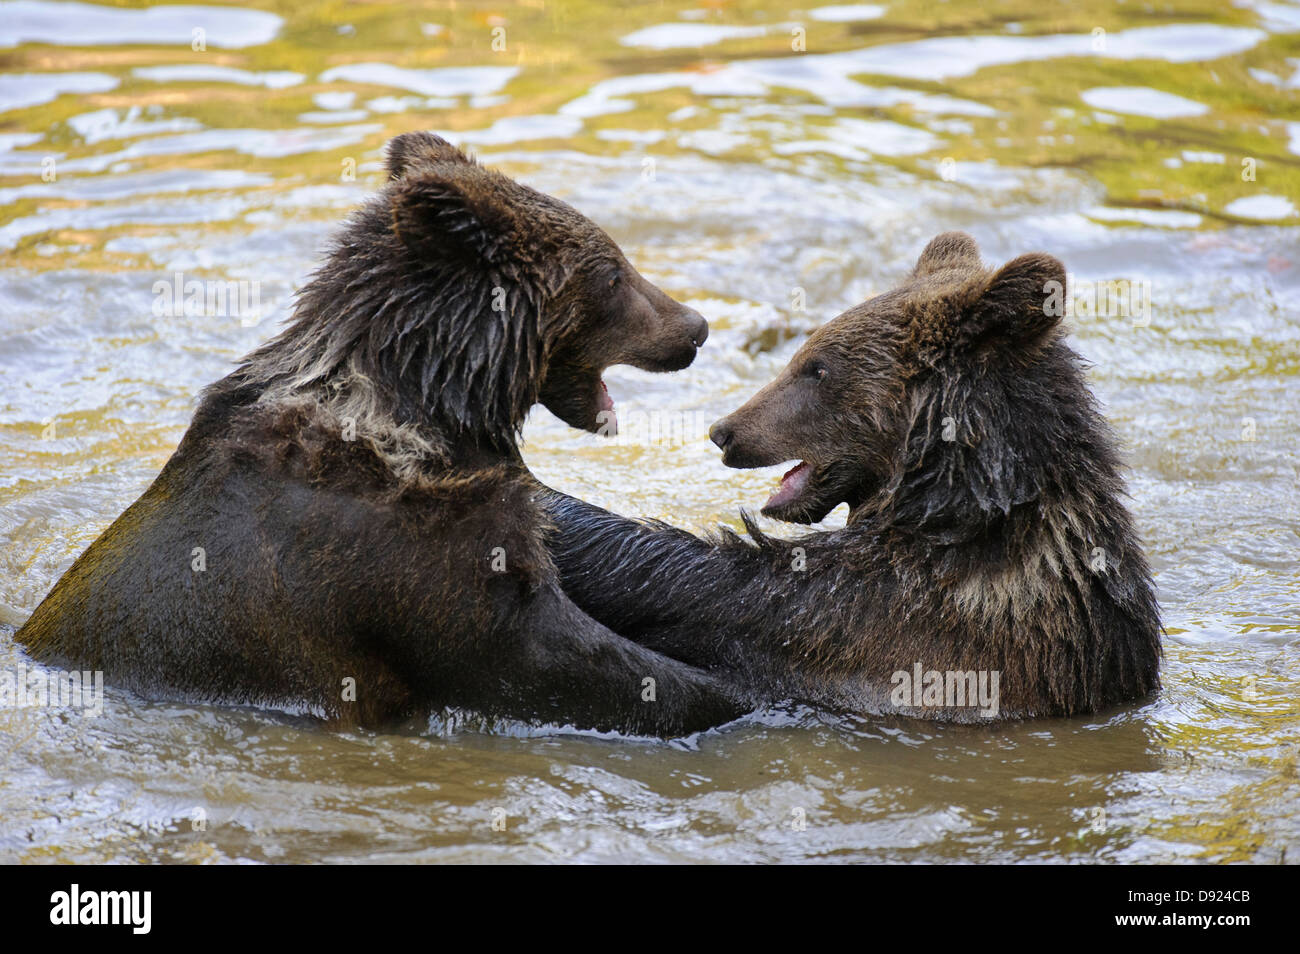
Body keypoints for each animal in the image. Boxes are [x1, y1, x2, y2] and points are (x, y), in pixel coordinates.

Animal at [16, 131, 748, 736]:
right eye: (613, 272)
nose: (695, 326)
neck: (425, 409)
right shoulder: (394, 559)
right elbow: (547, 652)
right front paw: (733, 691)